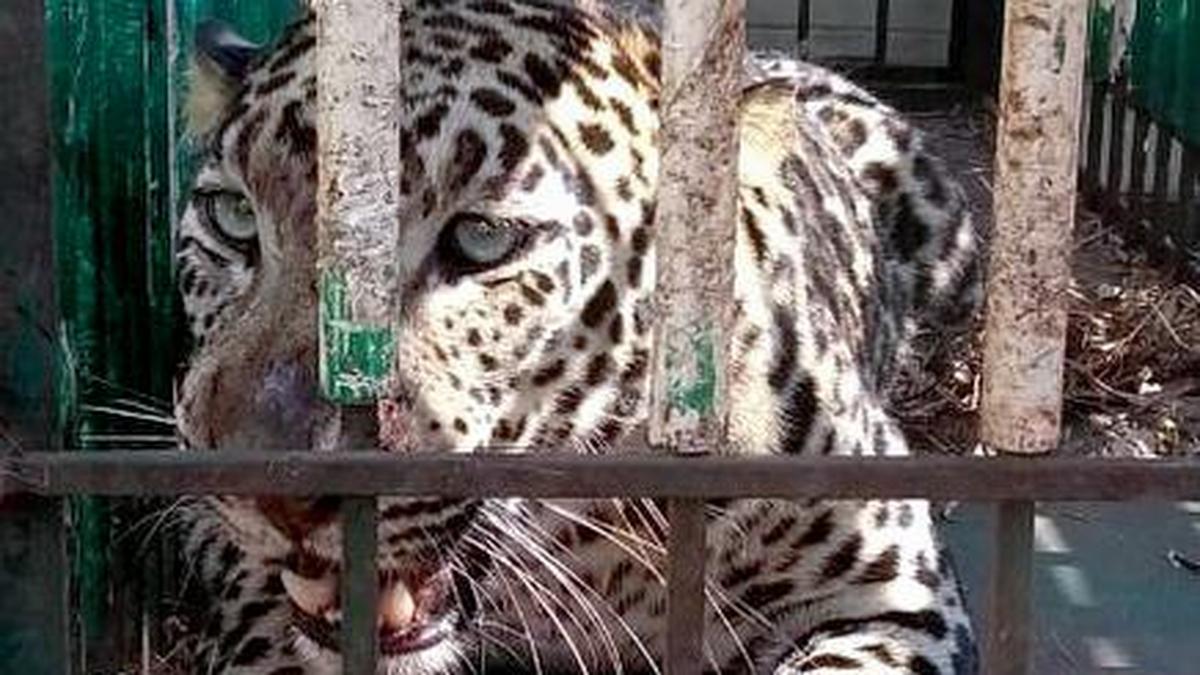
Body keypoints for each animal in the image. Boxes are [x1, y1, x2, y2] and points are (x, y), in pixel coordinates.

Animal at [175, 2, 980, 673]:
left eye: (483, 237)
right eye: (234, 218)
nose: (273, 495)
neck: (590, 542)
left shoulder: (899, 593)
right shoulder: (230, 562)